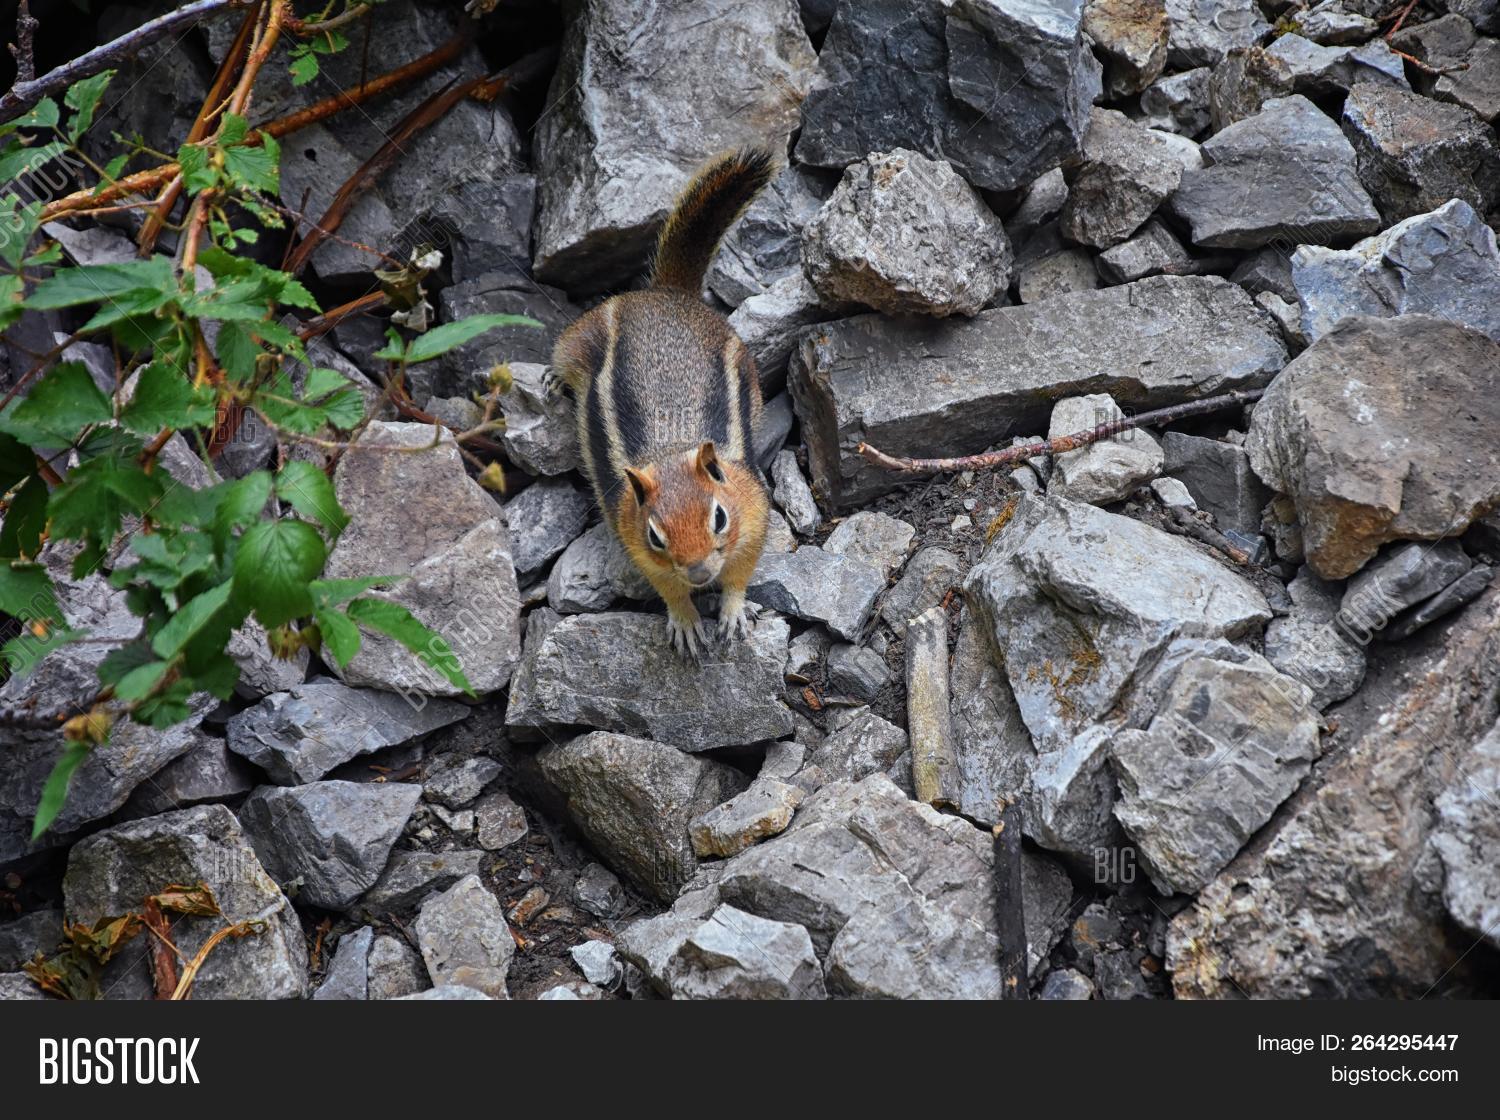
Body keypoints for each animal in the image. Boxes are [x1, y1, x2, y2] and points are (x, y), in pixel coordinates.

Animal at [549, 148, 777, 659]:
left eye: (719, 517)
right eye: (657, 534)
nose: (699, 573)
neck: (672, 453)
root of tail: (669, 293)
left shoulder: (754, 512)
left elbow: (742, 569)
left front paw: (732, 610)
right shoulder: (636, 541)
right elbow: (666, 586)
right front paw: (687, 620)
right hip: (581, 338)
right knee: (563, 353)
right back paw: (553, 378)